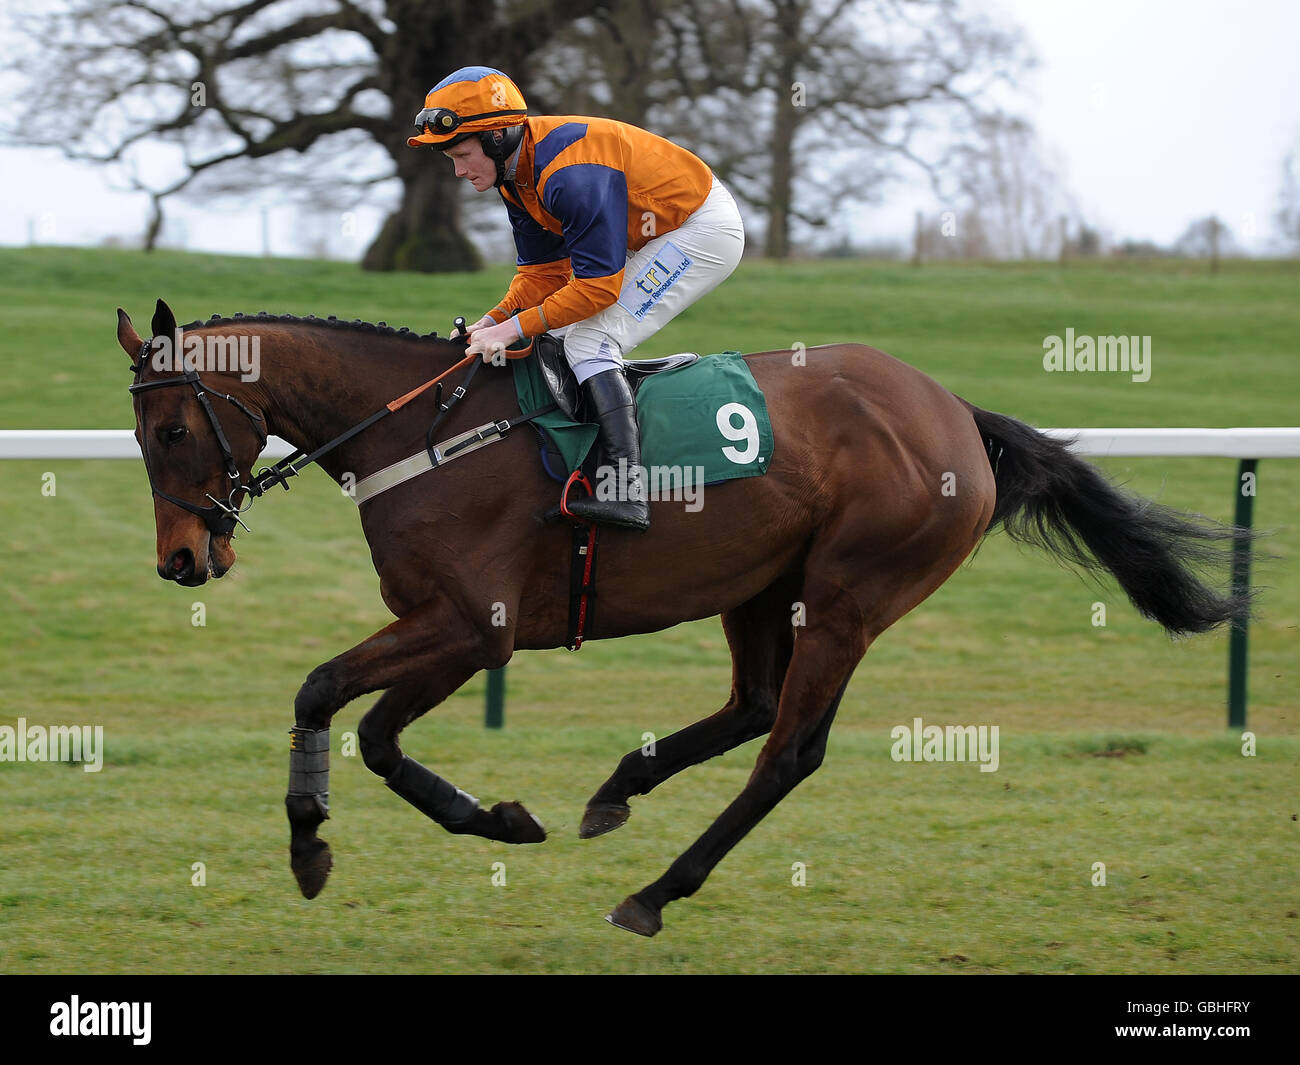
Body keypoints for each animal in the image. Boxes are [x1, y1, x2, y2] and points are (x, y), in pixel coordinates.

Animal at [118, 298, 1247, 937]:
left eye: (171, 429)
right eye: (139, 436)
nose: (181, 560)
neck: (422, 432)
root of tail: (955, 414)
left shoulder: (475, 625)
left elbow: (349, 712)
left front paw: (337, 842)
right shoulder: (454, 629)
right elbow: (358, 722)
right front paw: (477, 820)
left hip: (852, 593)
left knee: (788, 749)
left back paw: (656, 892)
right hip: (760, 585)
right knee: (752, 706)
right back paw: (618, 789)